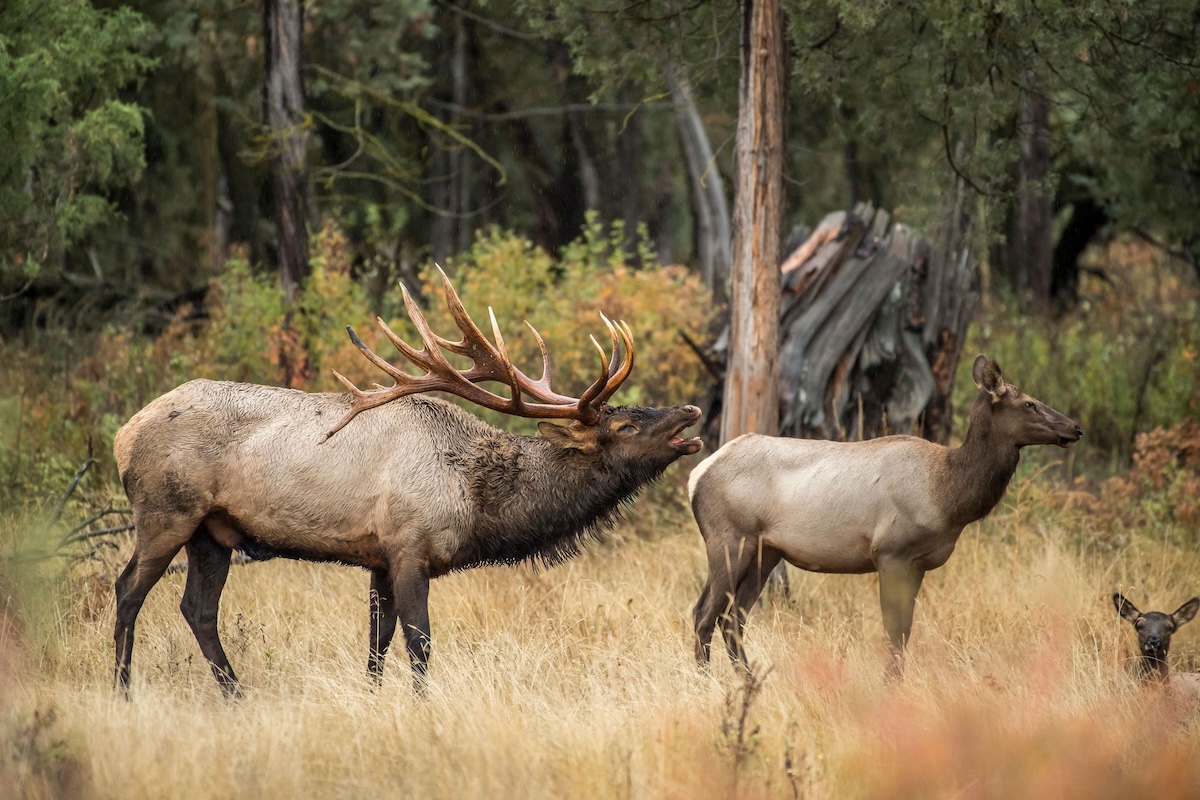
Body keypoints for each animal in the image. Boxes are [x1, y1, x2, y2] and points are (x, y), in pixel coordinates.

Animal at [112, 268, 702, 696]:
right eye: (625, 425)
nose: (691, 411)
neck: (477, 501)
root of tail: (123, 432)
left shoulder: (378, 556)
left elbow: (378, 642)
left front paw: (373, 699)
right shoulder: (409, 547)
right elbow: (419, 644)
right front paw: (422, 705)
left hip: (212, 532)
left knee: (198, 609)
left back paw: (236, 694)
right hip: (166, 513)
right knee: (128, 589)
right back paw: (122, 690)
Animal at [688, 354, 1082, 677]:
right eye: (1029, 403)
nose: (1075, 427)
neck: (948, 497)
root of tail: (696, 477)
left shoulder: (918, 563)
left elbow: (905, 631)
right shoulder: (891, 553)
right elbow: (893, 631)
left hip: (766, 552)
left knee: (732, 618)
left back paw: (748, 679)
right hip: (730, 539)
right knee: (704, 613)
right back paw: (708, 681)